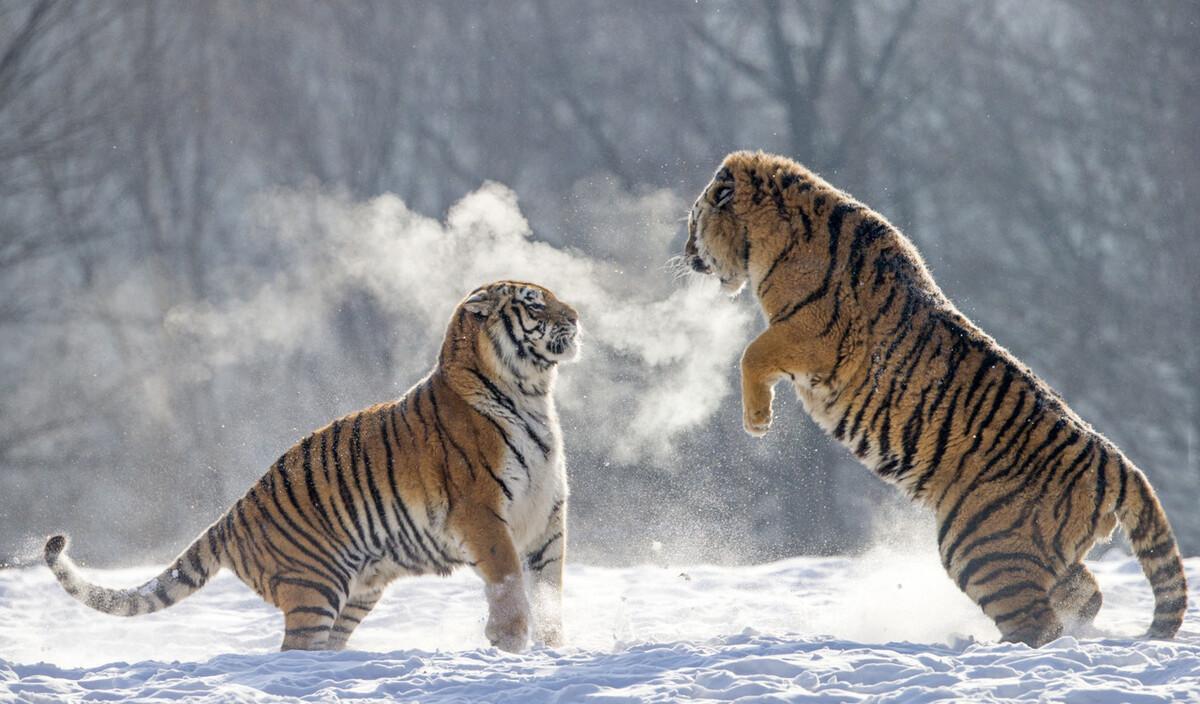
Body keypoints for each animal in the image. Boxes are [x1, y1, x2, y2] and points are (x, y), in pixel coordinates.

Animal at [44, 280, 580, 652]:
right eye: (534, 302)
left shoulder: (547, 518)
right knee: (294, 650)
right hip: (315, 587)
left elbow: (549, 590)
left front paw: (555, 649)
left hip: (357, 591)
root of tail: (229, 515)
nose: (576, 315)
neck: (533, 397)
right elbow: (509, 584)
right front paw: (510, 644)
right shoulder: (482, 515)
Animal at [683, 150, 1188, 646]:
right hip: (1034, 550)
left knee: (1037, 623)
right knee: (1085, 595)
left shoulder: (808, 336)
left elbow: (750, 354)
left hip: (979, 544)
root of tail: (1116, 462)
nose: (686, 255)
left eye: (694, 220)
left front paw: (757, 422)